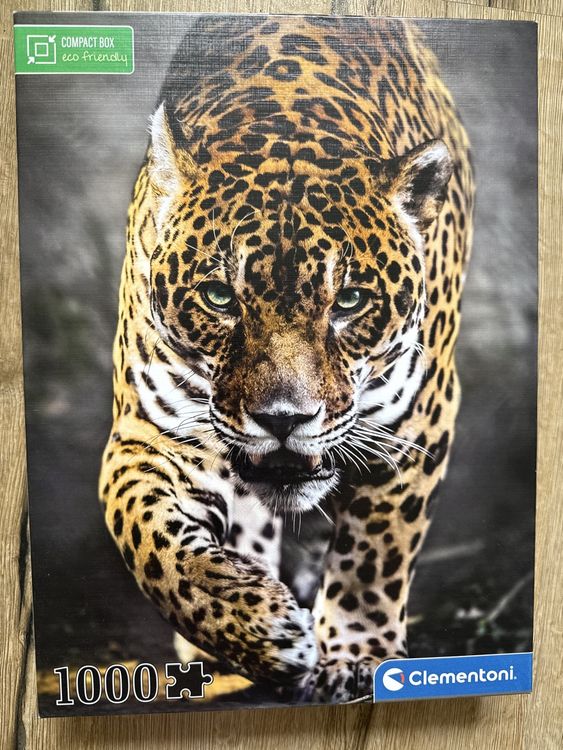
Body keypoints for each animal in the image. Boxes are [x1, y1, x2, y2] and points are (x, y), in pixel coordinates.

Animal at [99, 14, 473, 704]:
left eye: (350, 301)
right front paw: (257, 630)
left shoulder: (415, 425)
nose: (282, 419)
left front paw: (357, 657)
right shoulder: (150, 435)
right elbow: (152, 541)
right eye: (220, 297)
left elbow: (374, 554)